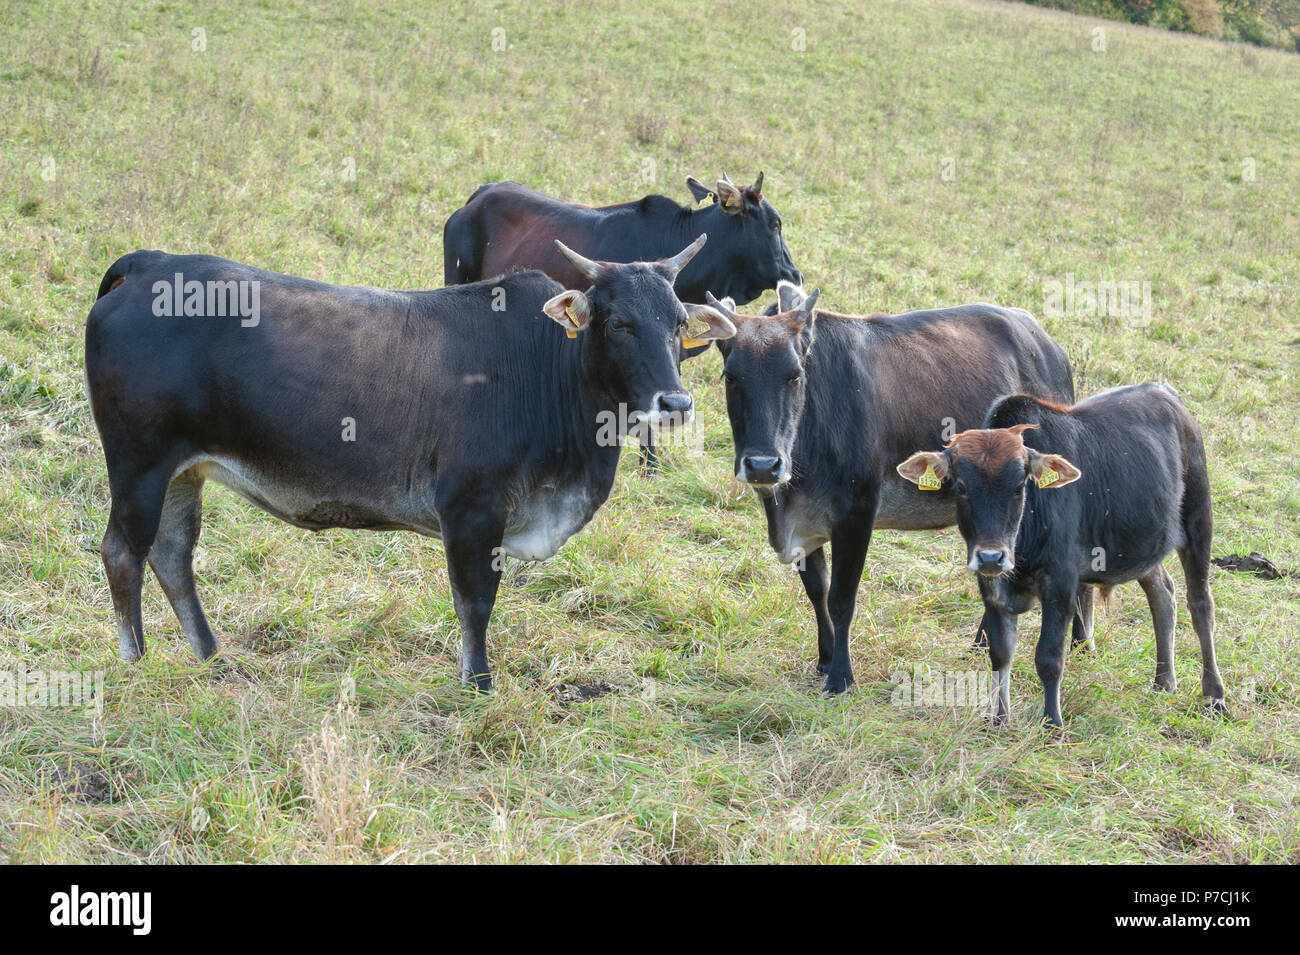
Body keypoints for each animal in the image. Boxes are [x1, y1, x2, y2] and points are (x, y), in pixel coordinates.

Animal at [84, 237, 736, 693]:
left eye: (680, 324)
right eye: (620, 323)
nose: (676, 403)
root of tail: (150, 262)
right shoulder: (472, 509)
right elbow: (475, 601)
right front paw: (478, 686)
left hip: (181, 472)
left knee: (173, 556)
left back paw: (212, 656)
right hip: (140, 464)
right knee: (124, 553)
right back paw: (136, 664)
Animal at [707, 282, 1082, 695]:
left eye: (794, 375)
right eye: (730, 376)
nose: (762, 465)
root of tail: (1046, 344)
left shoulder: (856, 512)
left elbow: (841, 598)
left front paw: (841, 677)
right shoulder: (806, 522)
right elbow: (817, 590)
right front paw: (824, 660)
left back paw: (1079, 644)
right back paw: (982, 643)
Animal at [896, 384, 1227, 727]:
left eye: (1019, 486)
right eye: (961, 486)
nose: (991, 557)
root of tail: (1167, 393)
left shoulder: (1061, 583)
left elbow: (1049, 657)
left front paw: (1052, 722)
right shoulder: (991, 587)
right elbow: (1000, 652)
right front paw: (998, 718)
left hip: (1199, 524)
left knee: (1200, 605)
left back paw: (1213, 694)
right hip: (1145, 544)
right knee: (1163, 593)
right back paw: (1164, 681)